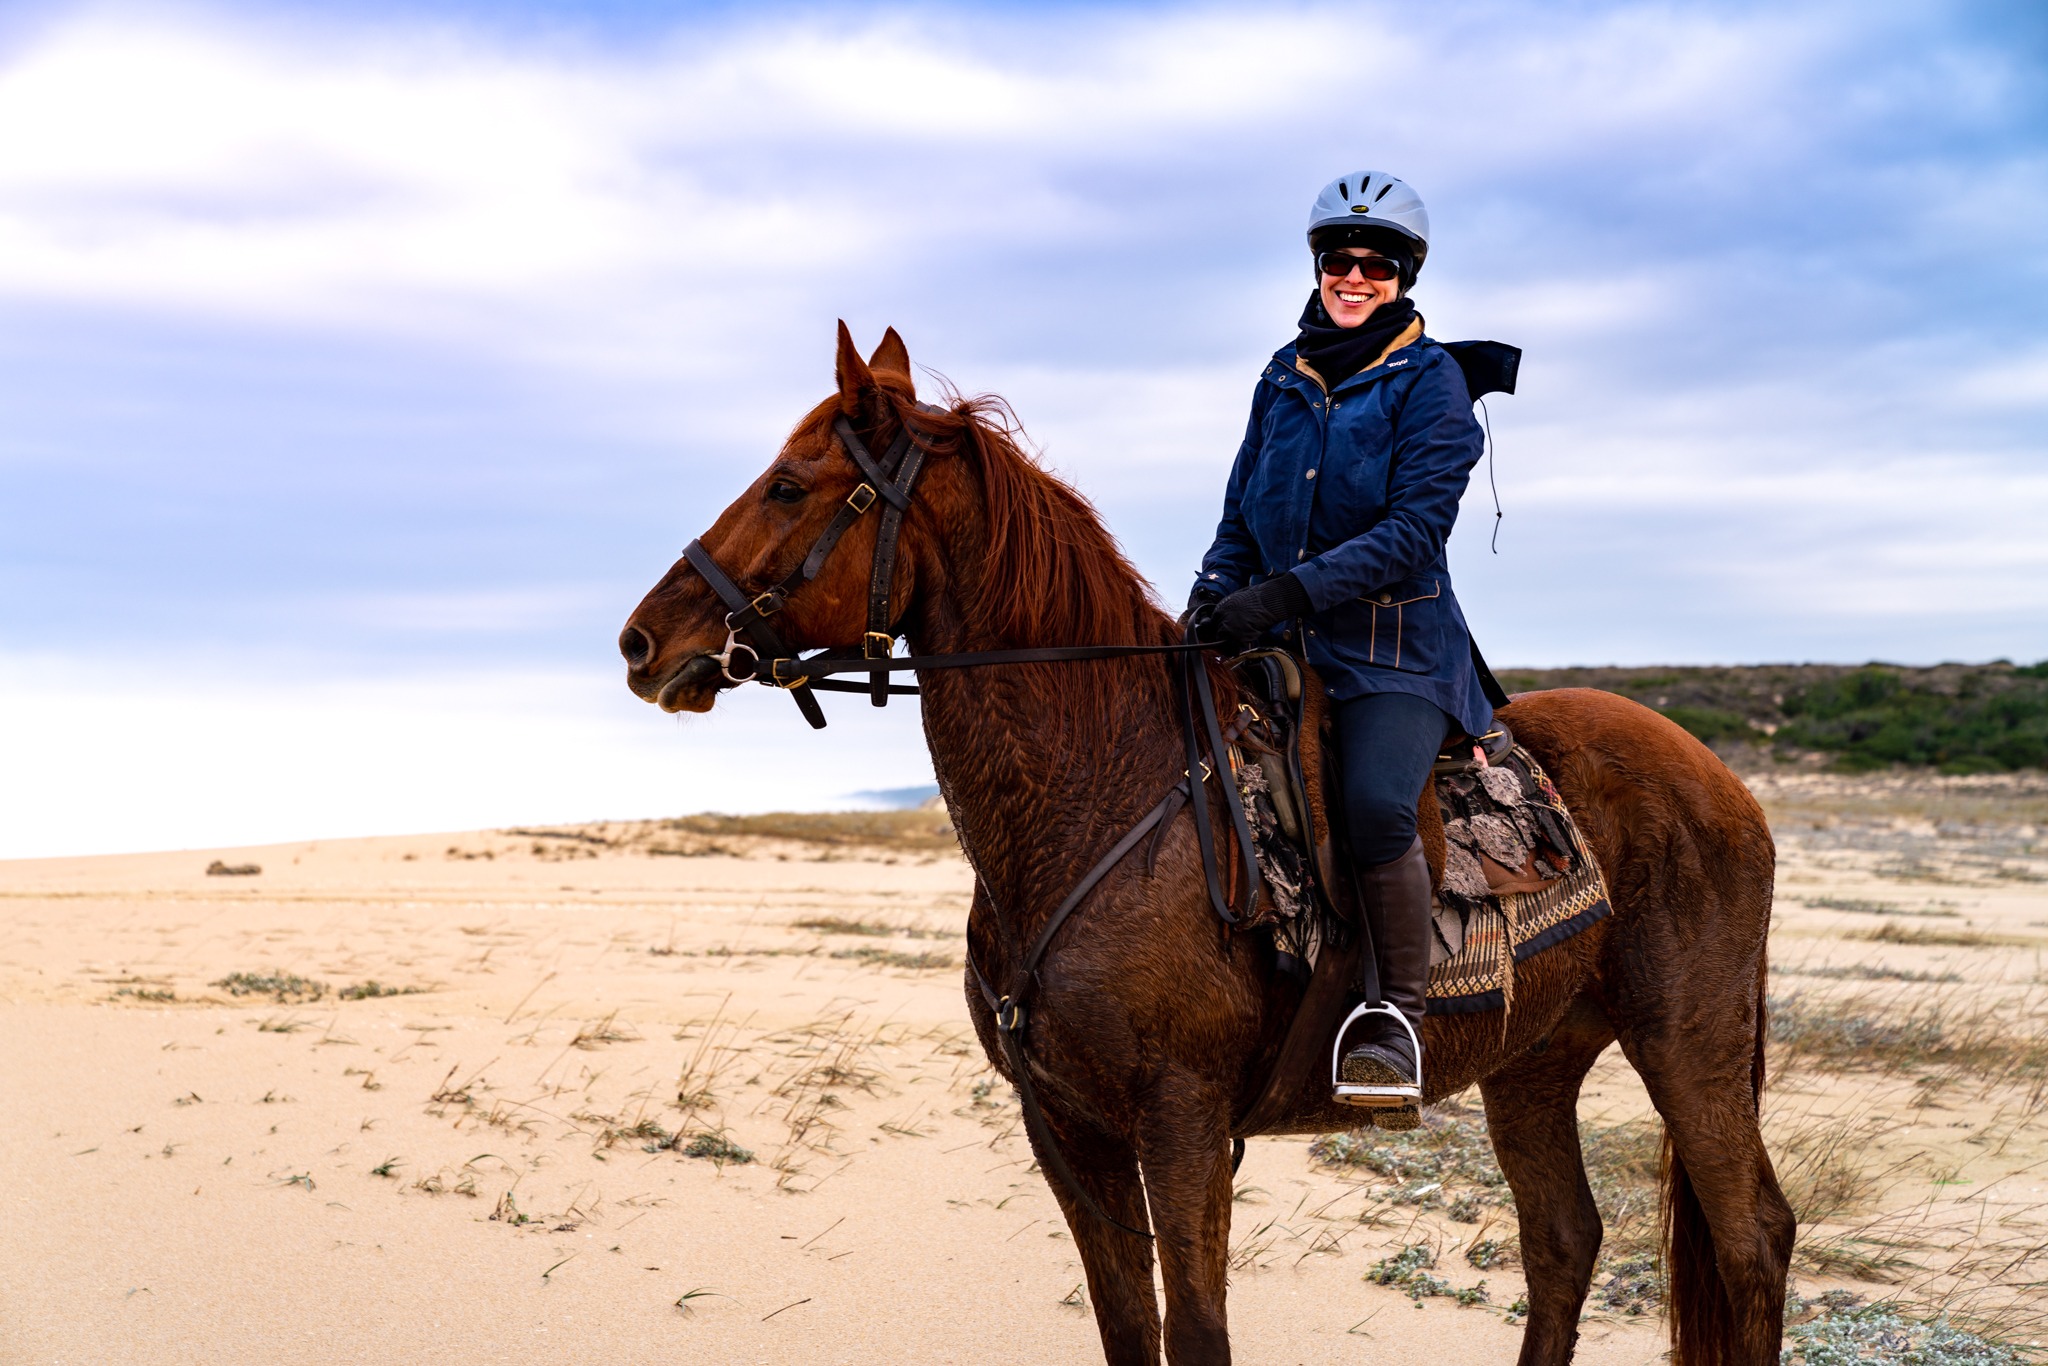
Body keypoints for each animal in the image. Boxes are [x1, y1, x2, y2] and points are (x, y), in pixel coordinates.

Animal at [618, 323, 1794, 1366]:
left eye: (787, 485)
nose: (641, 642)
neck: (1102, 795)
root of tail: (1724, 782)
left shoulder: (1179, 1123)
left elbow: (1194, 1333)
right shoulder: (1066, 1128)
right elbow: (1127, 1331)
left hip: (1685, 1042)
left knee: (1751, 1241)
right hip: (1534, 1061)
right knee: (1563, 1241)